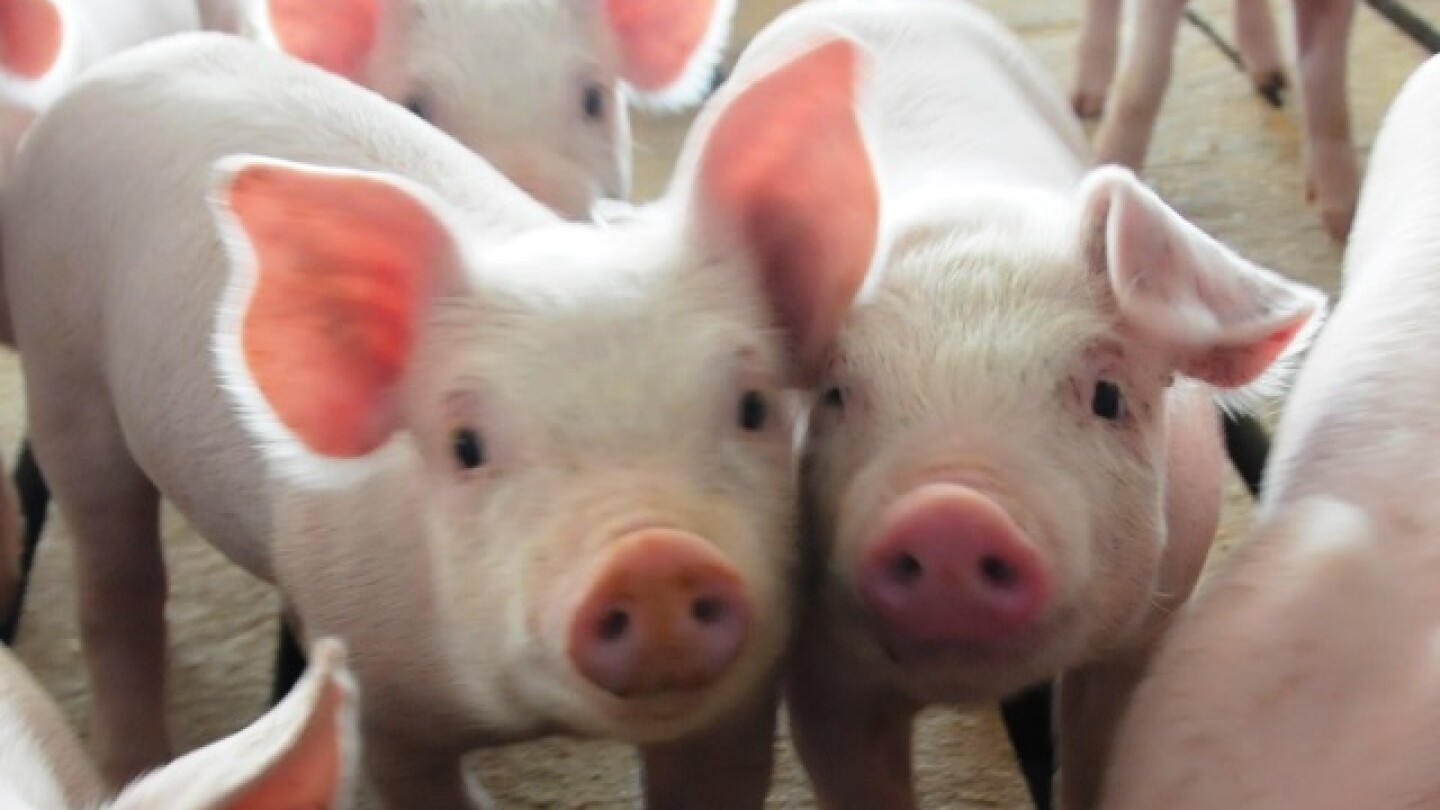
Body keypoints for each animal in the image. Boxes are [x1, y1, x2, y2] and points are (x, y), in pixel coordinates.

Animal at [1072, 0, 1358, 240]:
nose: (1343, 228)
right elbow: (1145, 77)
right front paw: (1103, 170)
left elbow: (1323, 79)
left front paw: (1343, 222)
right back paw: (1084, 104)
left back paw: (1270, 76)